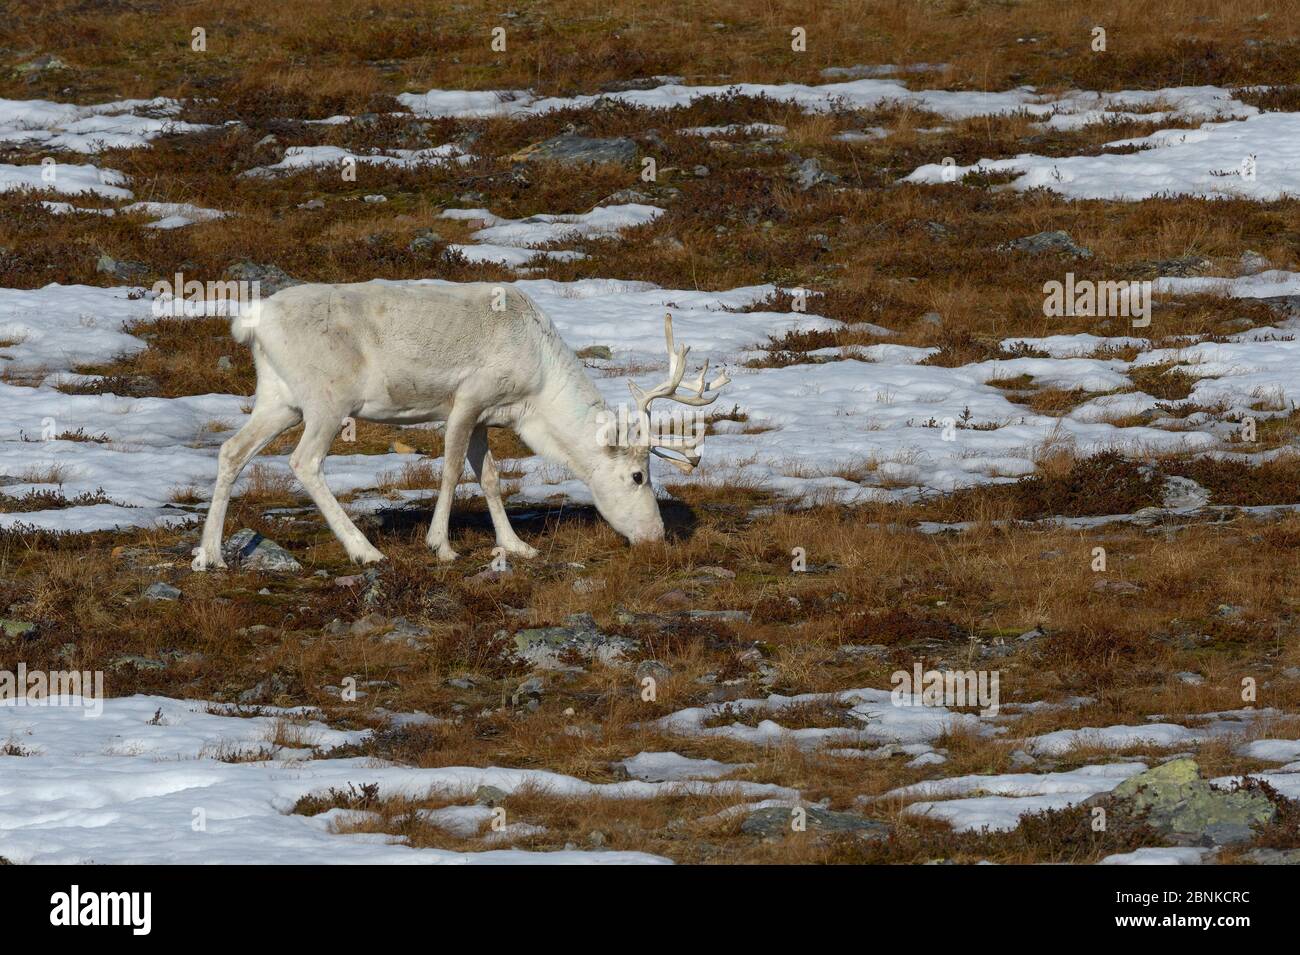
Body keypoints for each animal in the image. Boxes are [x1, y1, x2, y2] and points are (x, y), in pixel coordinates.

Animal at [191, 281, 730, 570]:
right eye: (638, 476)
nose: (656, 537)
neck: (537, 394)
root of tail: (251, 325)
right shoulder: (467, 399)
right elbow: (451, 471)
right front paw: (441, 546)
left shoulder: (488, 417)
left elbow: (489, 477)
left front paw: (517, 546)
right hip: (326, 401)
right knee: (304, 462)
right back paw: (366, 551)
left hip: (279, 399)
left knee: (231, 451)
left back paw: (210, 556)